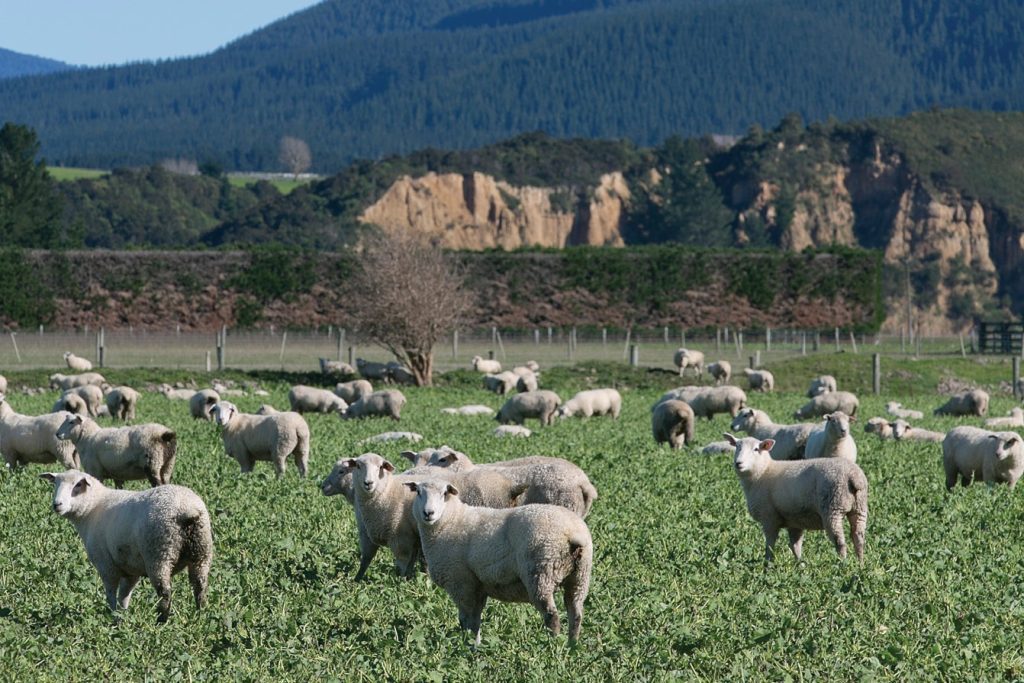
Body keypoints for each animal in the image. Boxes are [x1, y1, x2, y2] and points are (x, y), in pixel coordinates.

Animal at [39, 470, 212, 623]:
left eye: (77, 485)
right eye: (55, 484)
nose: (57, 504)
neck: (92, 508)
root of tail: (186, 509)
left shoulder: (106, 565)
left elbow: (111, 594)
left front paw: (114, 617)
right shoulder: (130, 569)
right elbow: (124, 595)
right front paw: (123, 617)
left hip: (158, 554)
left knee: (165, 593)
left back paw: (161, 621)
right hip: (201, 553)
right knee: (200, 586)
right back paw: (200, 616)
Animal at [404, 478, 593, 646]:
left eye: (444, 493)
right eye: (418, 492)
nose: (428, 513)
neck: (450, 521)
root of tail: (573, 533)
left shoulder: (461, 582)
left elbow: (465, 620)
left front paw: (466, 647)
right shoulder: (478, 586)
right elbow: (475, 621)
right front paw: (475, 646)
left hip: (540, 574)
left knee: (551, 616)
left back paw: (552, 646)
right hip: (579, 578)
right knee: (575, 614)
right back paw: (572, 647)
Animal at [724, 433, 868, 563]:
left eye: (755, 449)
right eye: (737, 447)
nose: (738, 463)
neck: (762, 472)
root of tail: (853, 475)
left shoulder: (769, 517)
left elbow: (770, 545)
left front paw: (768, 565)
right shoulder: (795, 520)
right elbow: (795, 546)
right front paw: (799, 565)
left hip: (832, 508)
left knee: (840, 542)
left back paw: (843, 565)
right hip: (859, 507)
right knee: (858, 537)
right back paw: (860, 564)